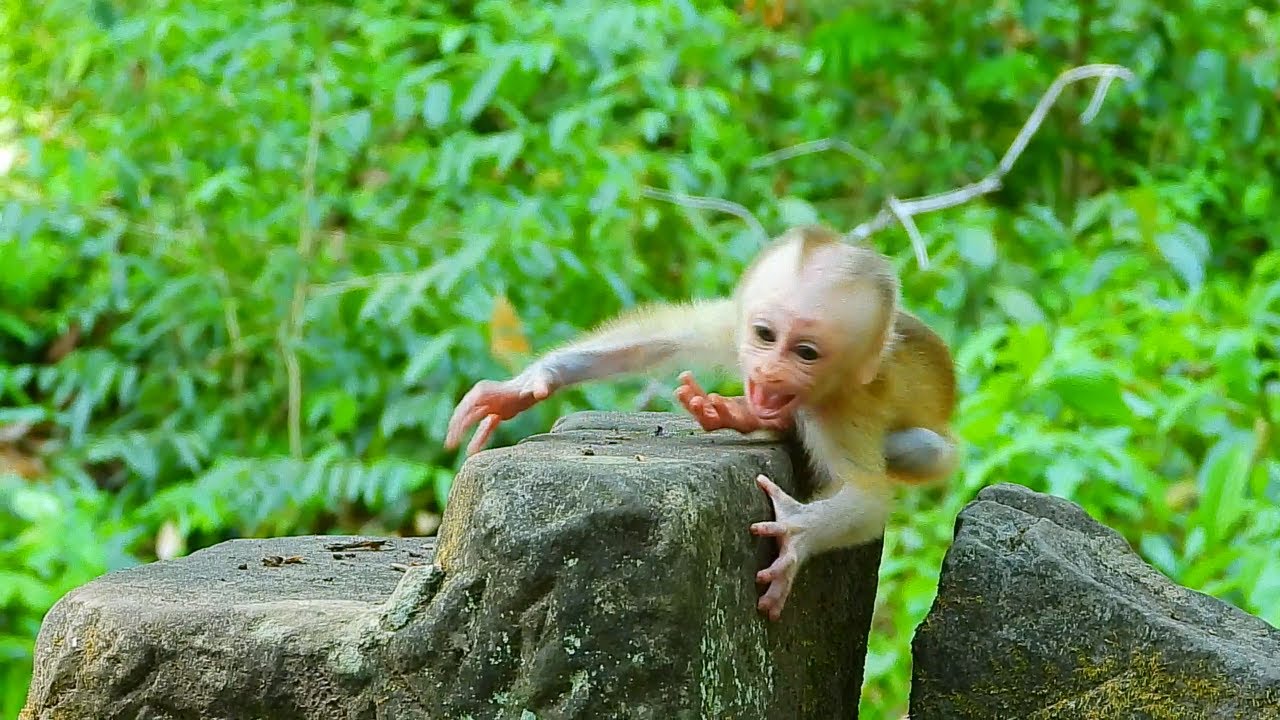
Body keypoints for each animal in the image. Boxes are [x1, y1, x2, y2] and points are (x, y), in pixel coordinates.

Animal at [446, 225, 958, 620]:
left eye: (806, 353)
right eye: (765, 335)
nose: (771, 372)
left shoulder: (842, 411)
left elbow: (865, 498)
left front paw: (794, 532)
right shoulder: (732, 329)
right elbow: (661, 338)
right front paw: (525, 385)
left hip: (937, 455)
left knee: (921, 449)